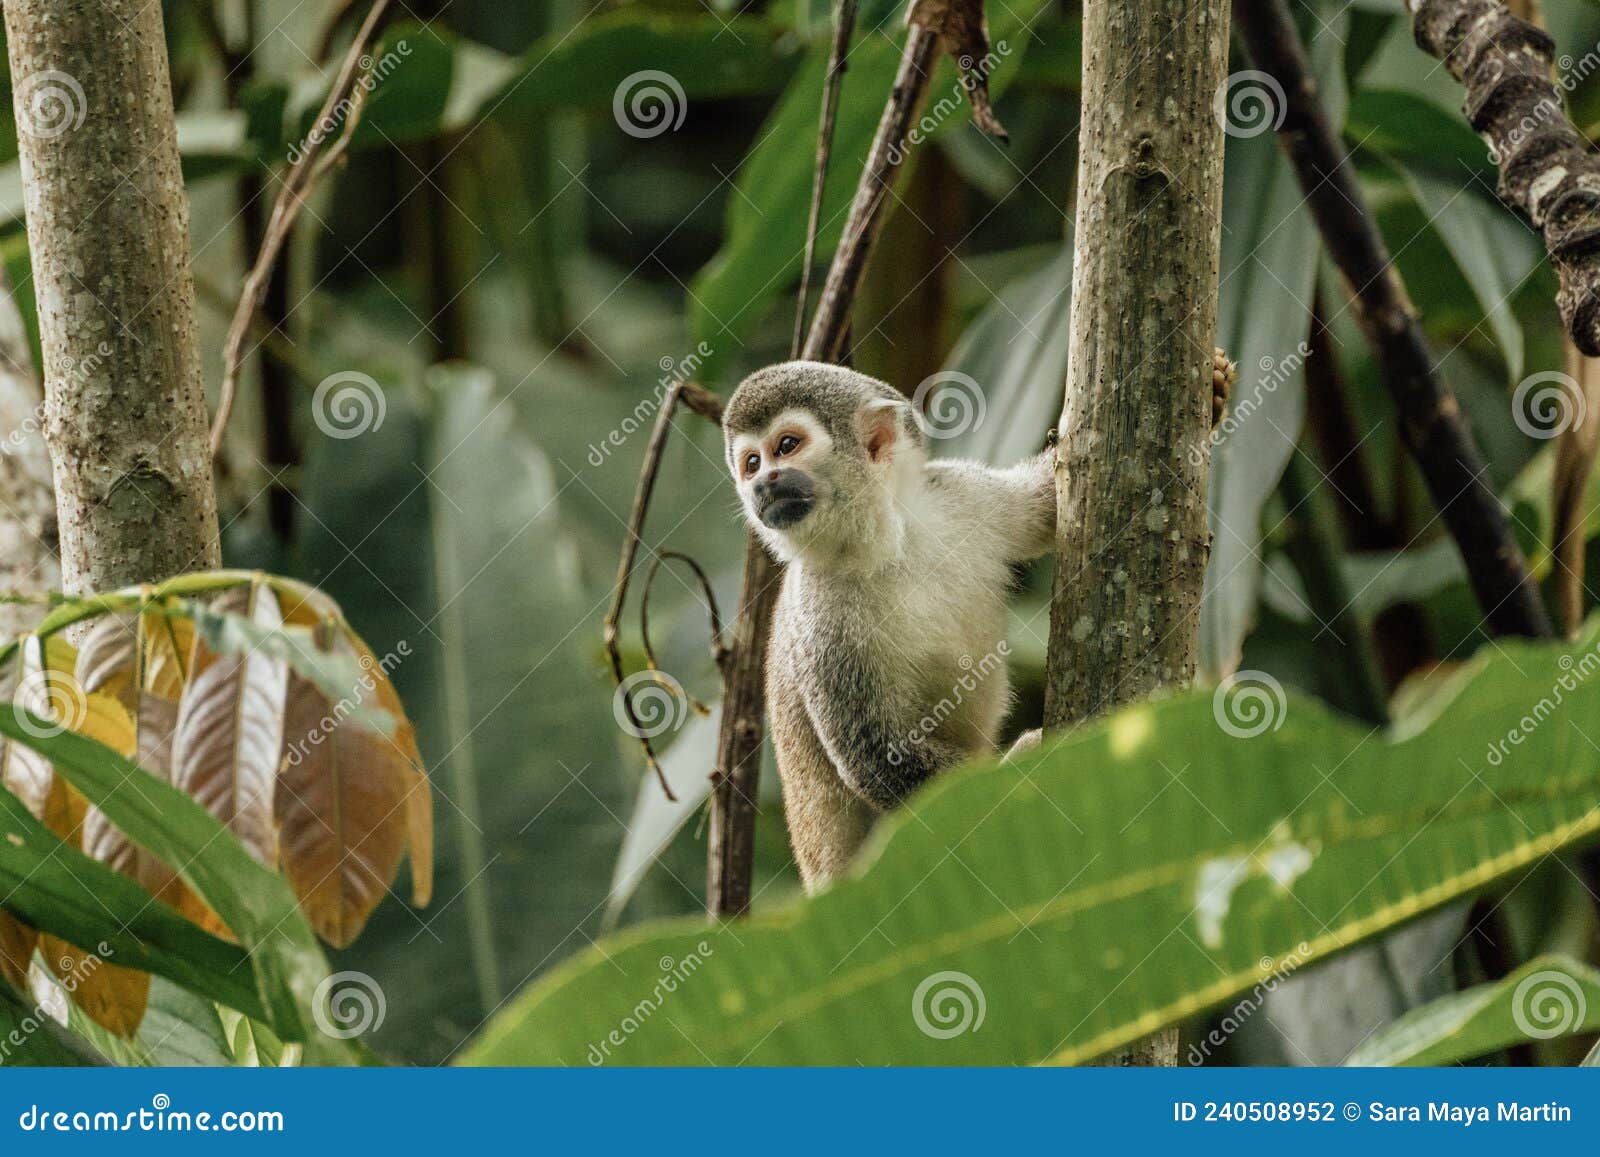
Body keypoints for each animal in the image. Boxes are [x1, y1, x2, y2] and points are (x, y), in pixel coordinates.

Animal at [723, 352, 1235, 891]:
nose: (760, 485)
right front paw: (1023, 774)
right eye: (752, 463)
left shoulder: (961, 492)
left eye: (786, 446)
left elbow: (1047, 505)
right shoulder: (819, 615)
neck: (887, 541)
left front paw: (1215, 393)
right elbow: (877, 757)